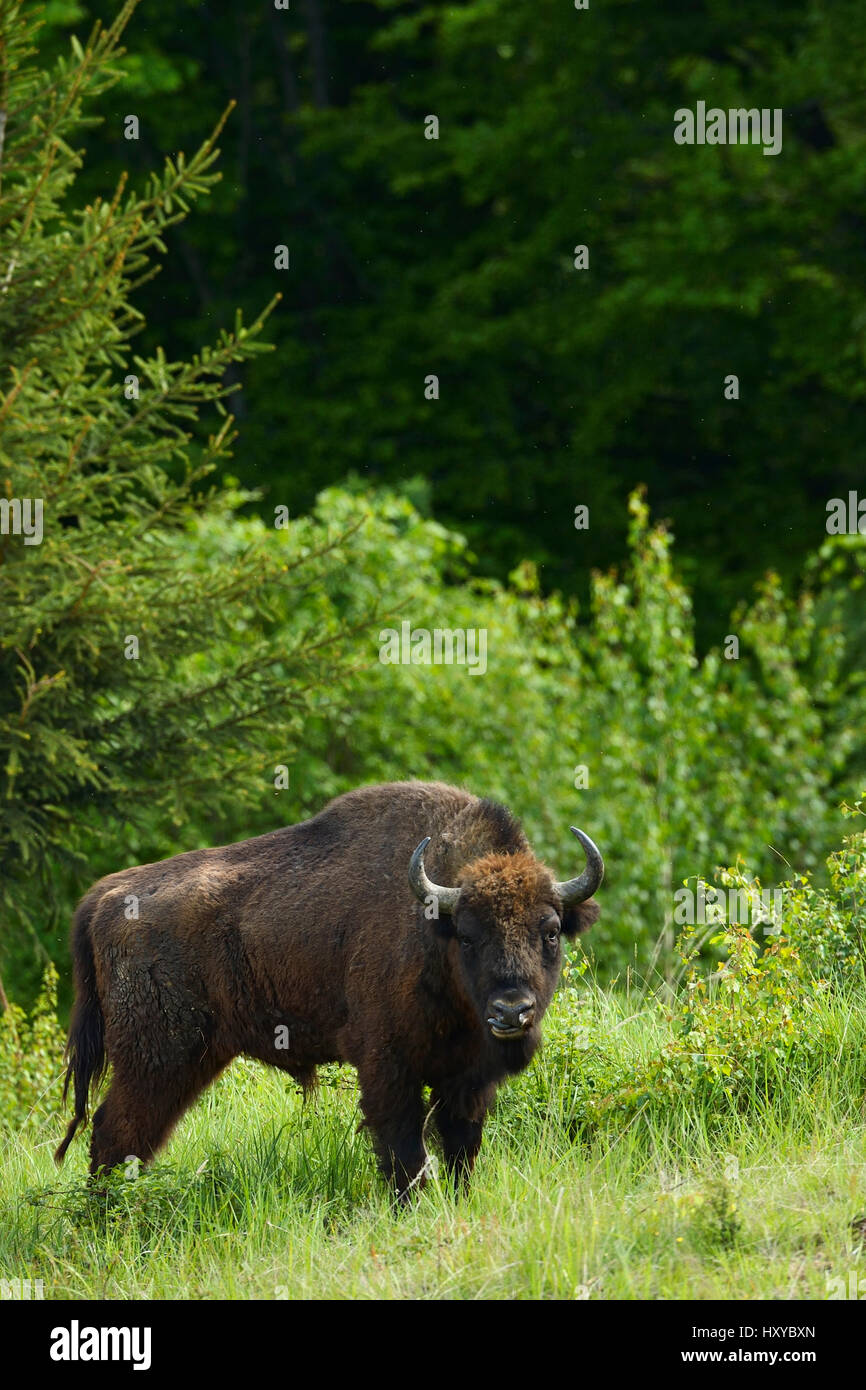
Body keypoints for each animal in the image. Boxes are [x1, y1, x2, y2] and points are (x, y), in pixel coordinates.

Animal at [56, 780, 602, 1199]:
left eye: (551, 931)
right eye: (468, 935)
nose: (512, 1012)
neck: (430, 927)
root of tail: (104, 897)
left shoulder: (467, 1080)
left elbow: (460, 1150)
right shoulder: (387, 1067)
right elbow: (404, 1152)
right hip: (159, 1058)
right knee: (116, 1132)